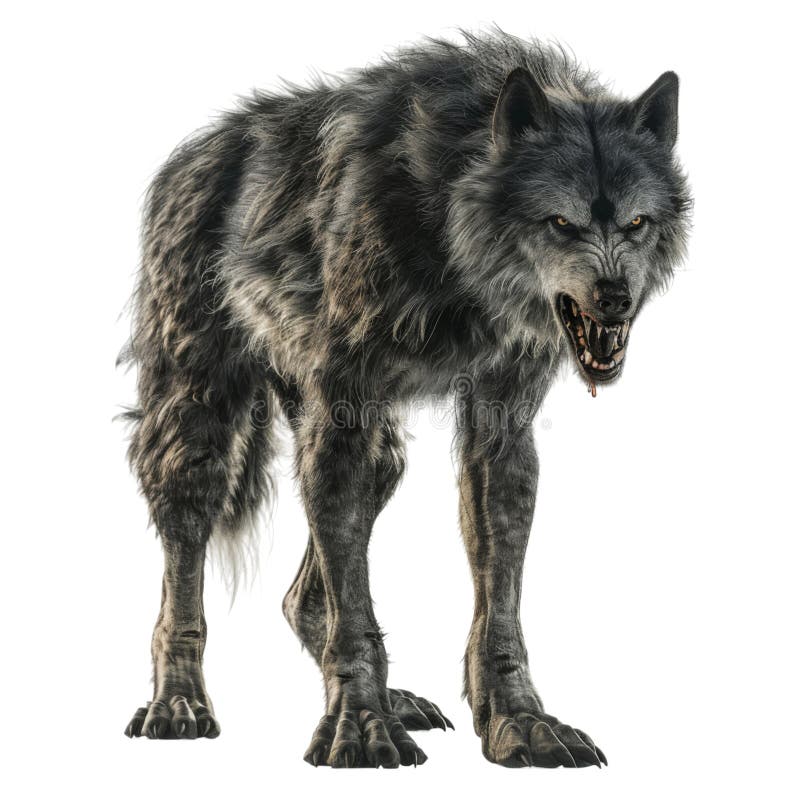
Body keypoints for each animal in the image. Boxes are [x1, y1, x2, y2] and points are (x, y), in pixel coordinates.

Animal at [121, 29, 691, 768]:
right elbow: (354, 604)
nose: (616, 298)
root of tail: (189, 157)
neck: (447, 218)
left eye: (637, 222)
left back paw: (393, 698)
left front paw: (518, 720)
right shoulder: (343, 412)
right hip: (204, 431)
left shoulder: (500, 427)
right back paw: (179, 703)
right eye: (560, 222)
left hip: (381, 452)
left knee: (305, 594)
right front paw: (359, 727)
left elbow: (495, 599)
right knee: (189, 554)